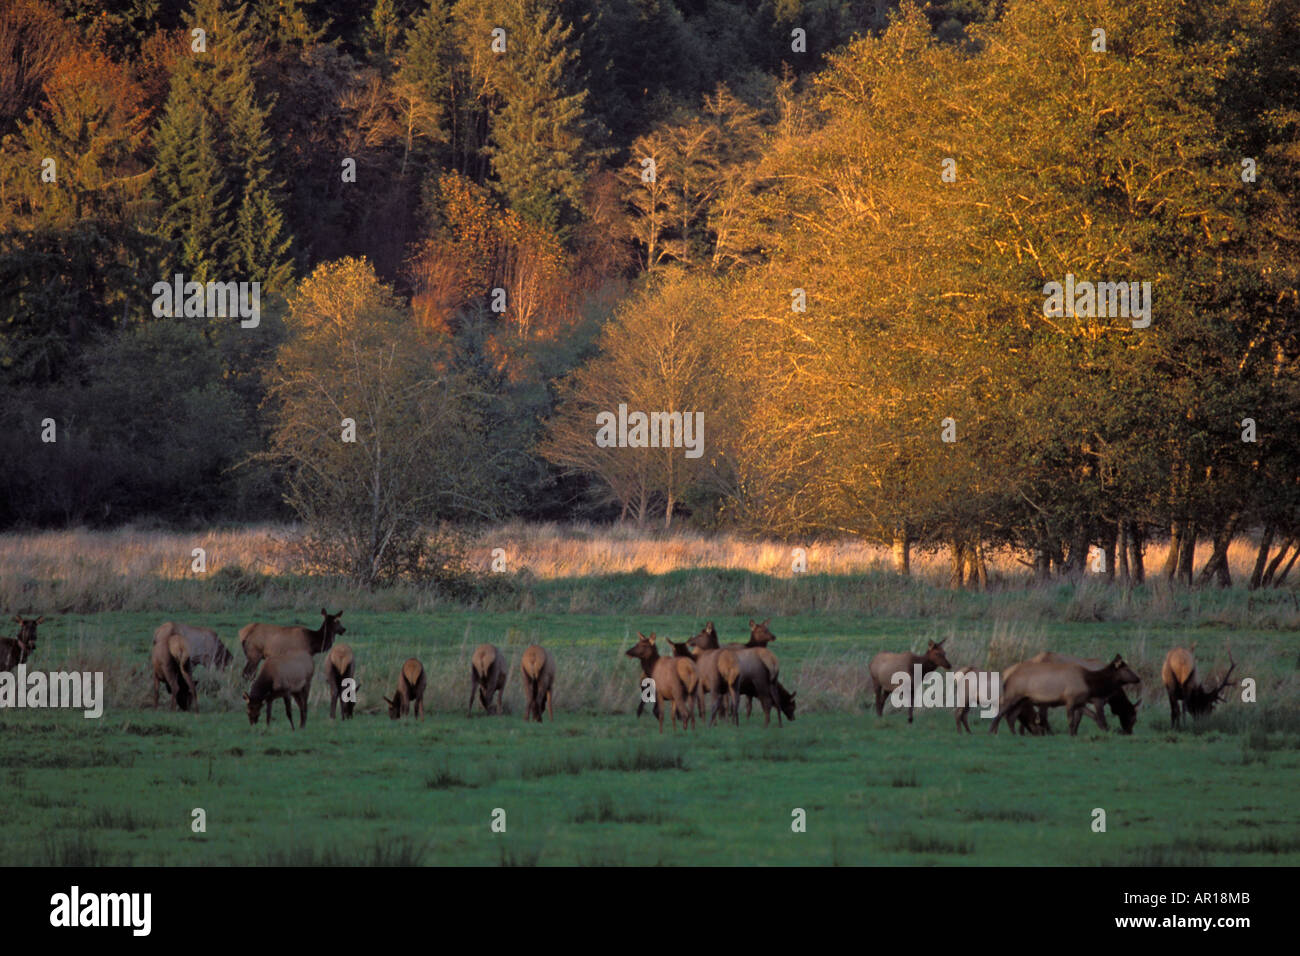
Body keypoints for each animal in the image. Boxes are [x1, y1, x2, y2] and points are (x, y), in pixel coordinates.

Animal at [991, 655, 1140, 736]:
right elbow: (1080, 719)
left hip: (1023, 700)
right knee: (1002, 712)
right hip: (1015, 697)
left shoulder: (1080, 702)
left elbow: (1089, 717)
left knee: (1012, 716)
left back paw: (1018, 733)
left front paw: (1076, 733)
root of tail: (1006, 674)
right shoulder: (1082, 700)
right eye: (1133, 717)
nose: (1138, 678)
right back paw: (993, 731)